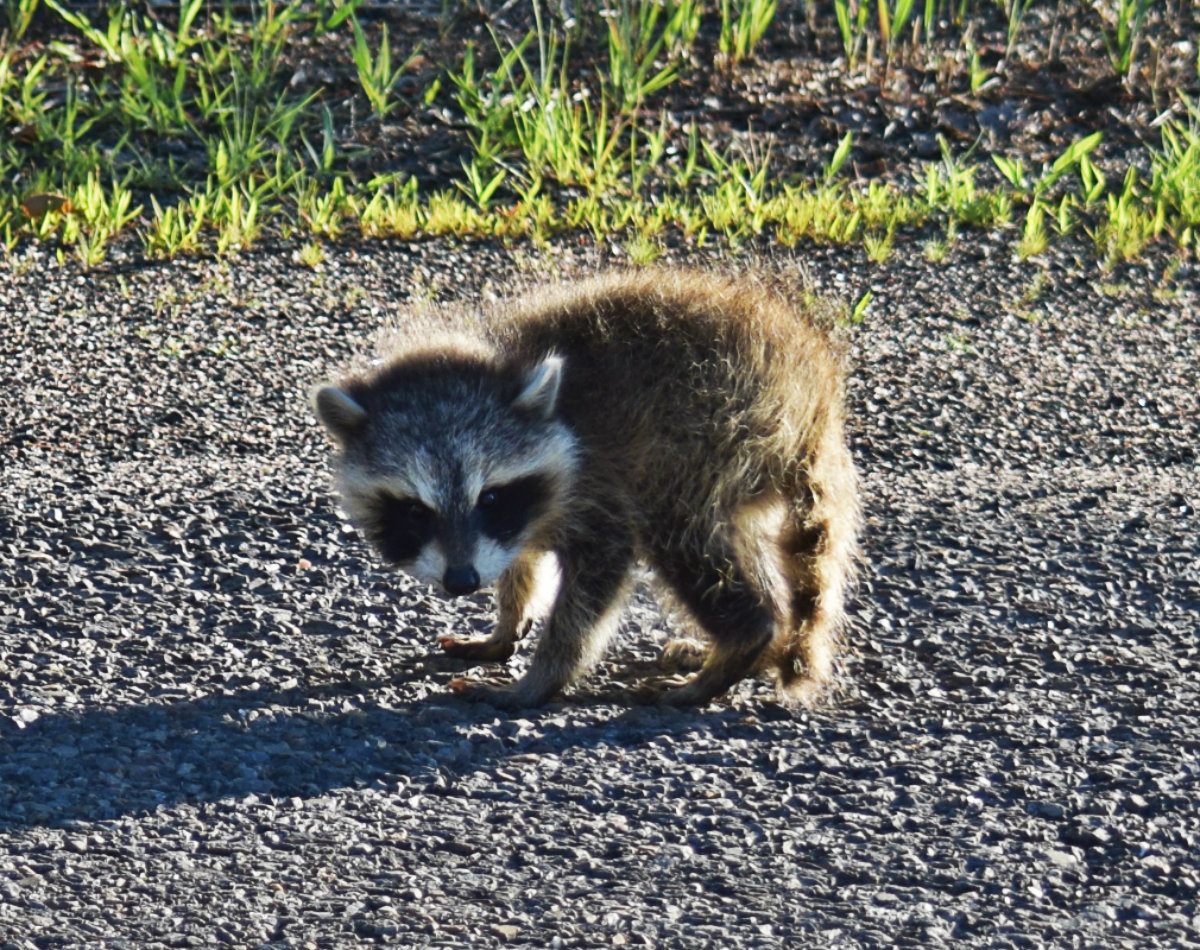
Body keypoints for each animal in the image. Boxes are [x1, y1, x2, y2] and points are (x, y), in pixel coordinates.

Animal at [312, 269, 859, 709]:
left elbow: (594, 584)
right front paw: (506, 623)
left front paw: (540, 679)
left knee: (680, 533)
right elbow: (518, 559)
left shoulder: (595, 482)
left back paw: (745, 641)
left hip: (713, 435)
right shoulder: (521, 519)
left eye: (488, 497)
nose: (462, 583)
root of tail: (815, 395)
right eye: (416, 510)